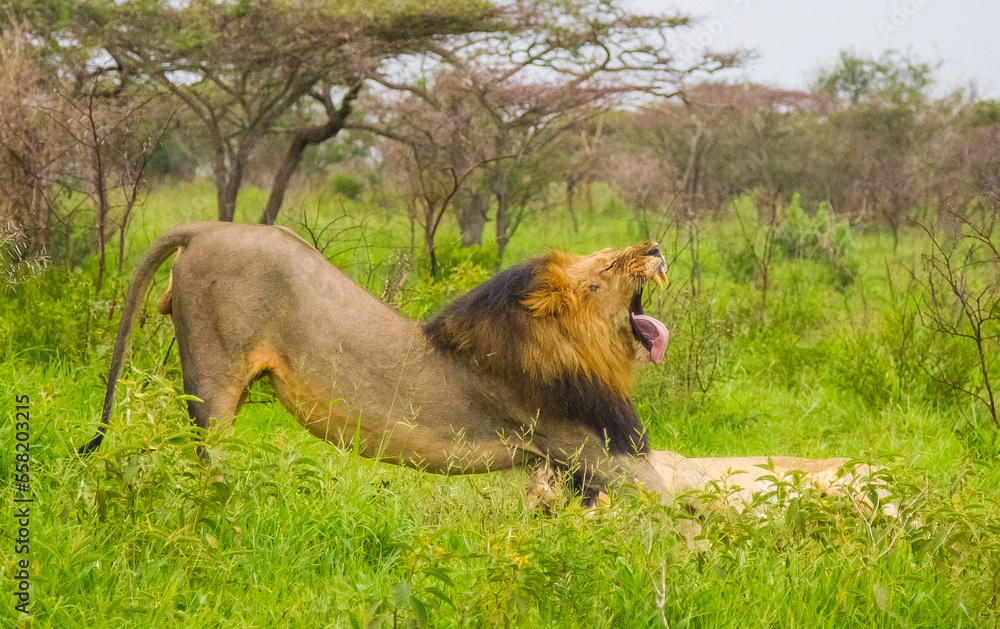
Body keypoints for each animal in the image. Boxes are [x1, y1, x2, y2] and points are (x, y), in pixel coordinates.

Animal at [80, 222, 877, 512]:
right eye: (606, 268)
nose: (654, 246)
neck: (583, 351)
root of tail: (202, 228)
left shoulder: (574, 464)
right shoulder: (602, 452)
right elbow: (699, 493)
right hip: (212, 382)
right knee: (202, 453)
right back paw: (219, 505)